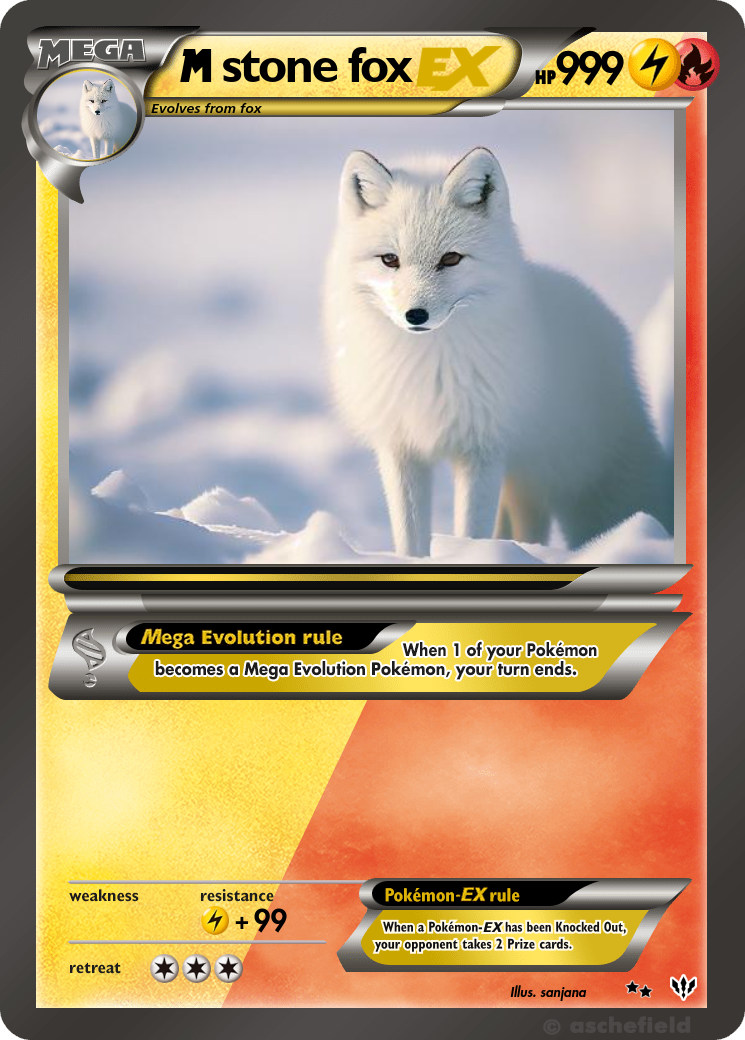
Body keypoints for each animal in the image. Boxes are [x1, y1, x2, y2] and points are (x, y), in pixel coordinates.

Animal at [325, 147, 673, 557]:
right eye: (389, 260)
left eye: (451, 259)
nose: (415, 315)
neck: (429, 367)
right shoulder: (401, 448)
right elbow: (410, 538)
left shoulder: (482, 450)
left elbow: (470, 531)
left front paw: (470, 554)